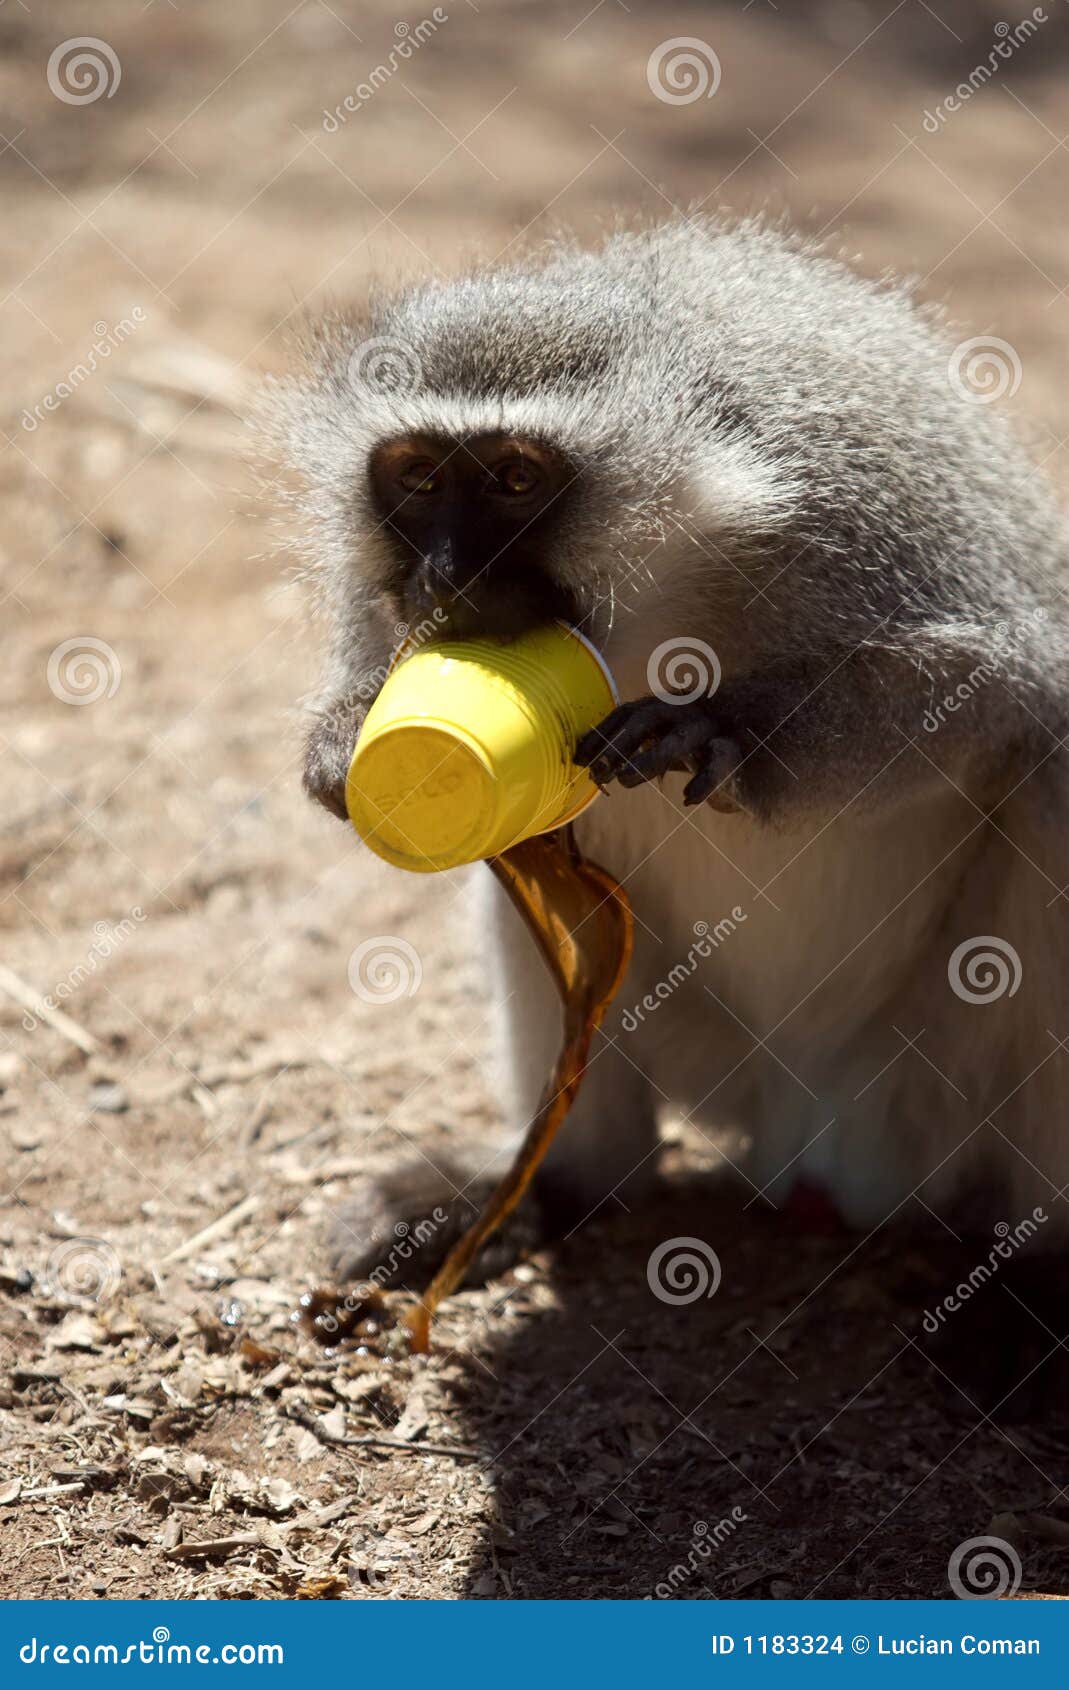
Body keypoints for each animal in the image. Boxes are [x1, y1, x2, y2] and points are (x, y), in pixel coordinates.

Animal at [265, 215, 1069, 1402]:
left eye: (514, 477)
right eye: (415, 478)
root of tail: (813, 1135)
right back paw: (559, 1177)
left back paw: (1039, 1266)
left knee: (1053, 770)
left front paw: (724, 734)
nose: (444, 577)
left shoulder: (857, 510)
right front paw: (340, 733)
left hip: (936, 1074)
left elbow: (1008, 691)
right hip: (707, 1045)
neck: (662, 582)